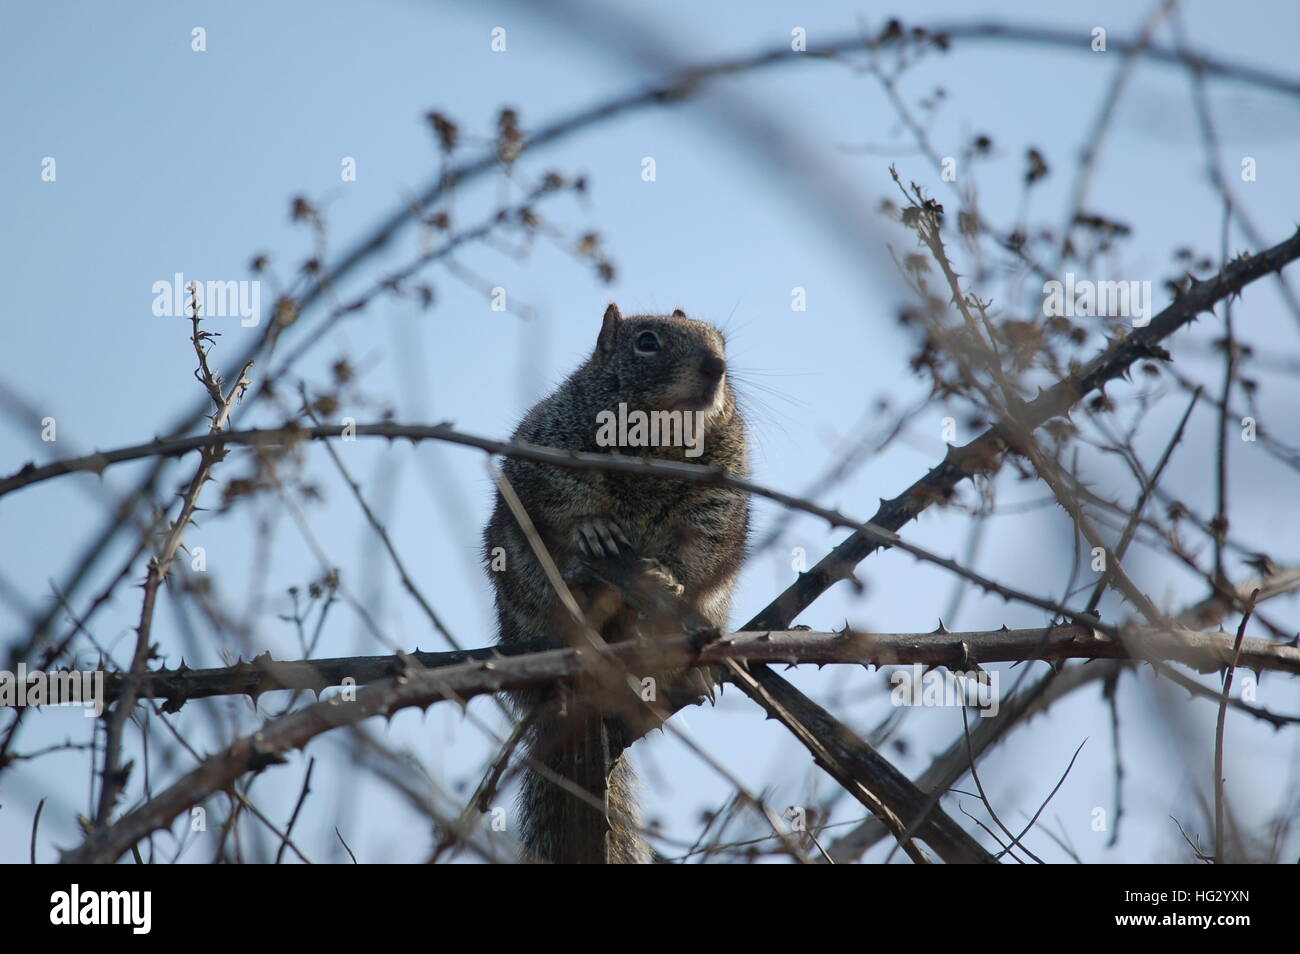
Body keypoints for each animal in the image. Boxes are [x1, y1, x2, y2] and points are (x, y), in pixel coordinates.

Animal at [483, 303, 750, 863]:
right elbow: (562, 500)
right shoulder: (547, 451)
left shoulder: (721, 490)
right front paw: (593, 529)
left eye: (722, 342)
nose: (715, 367)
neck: (660, 439)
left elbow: (705, 543)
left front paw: (667, 578)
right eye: (645, 342)